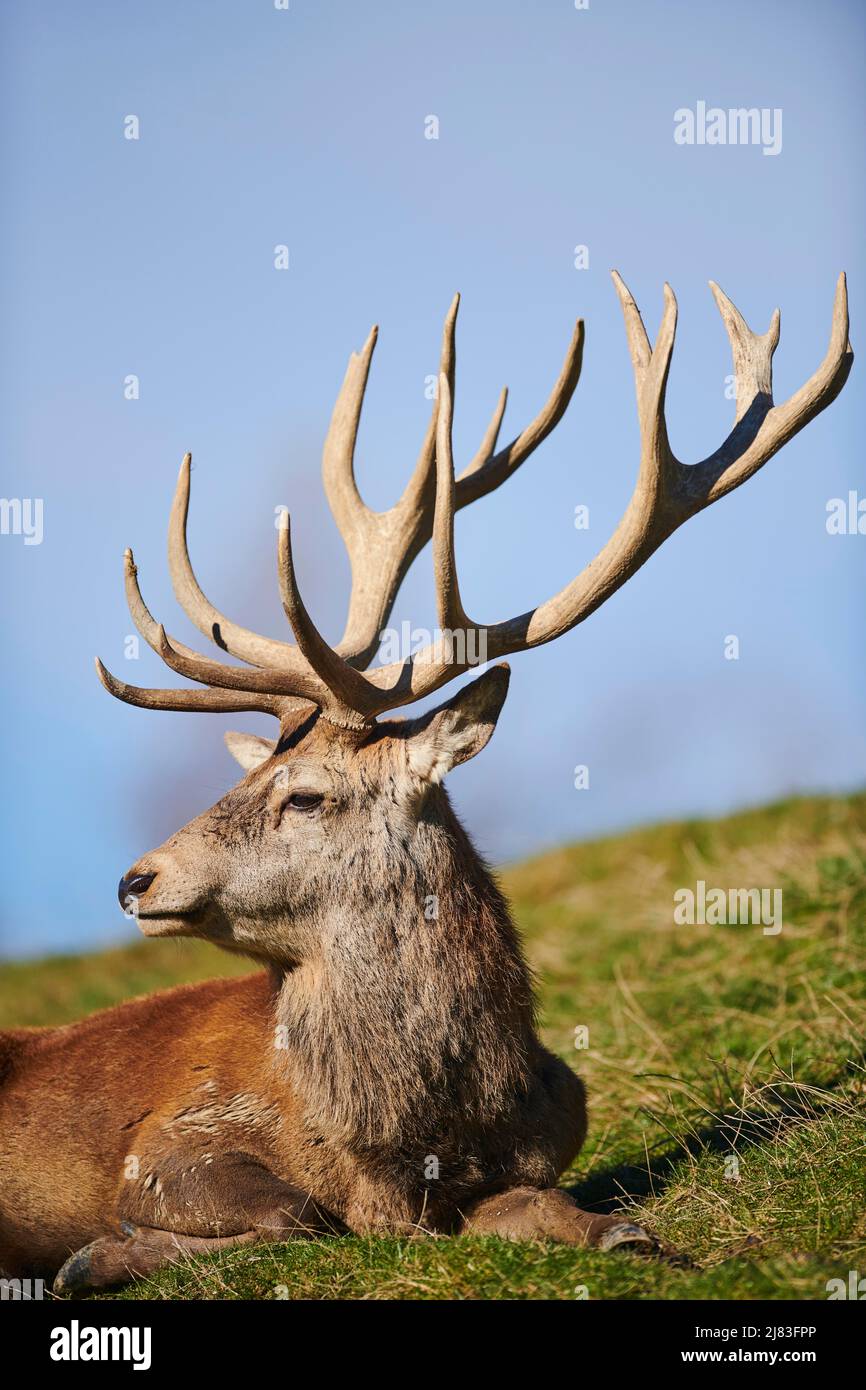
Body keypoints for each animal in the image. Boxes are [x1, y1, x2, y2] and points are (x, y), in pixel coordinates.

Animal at [0, 271, 852, 1294]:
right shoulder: (167, 1141)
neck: (421, 1140)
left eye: (305, 793)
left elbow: (554, 1210)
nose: (137, 878)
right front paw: (99, 1254)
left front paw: (631, 1235)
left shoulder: (548, 1139)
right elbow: (297, 1215)